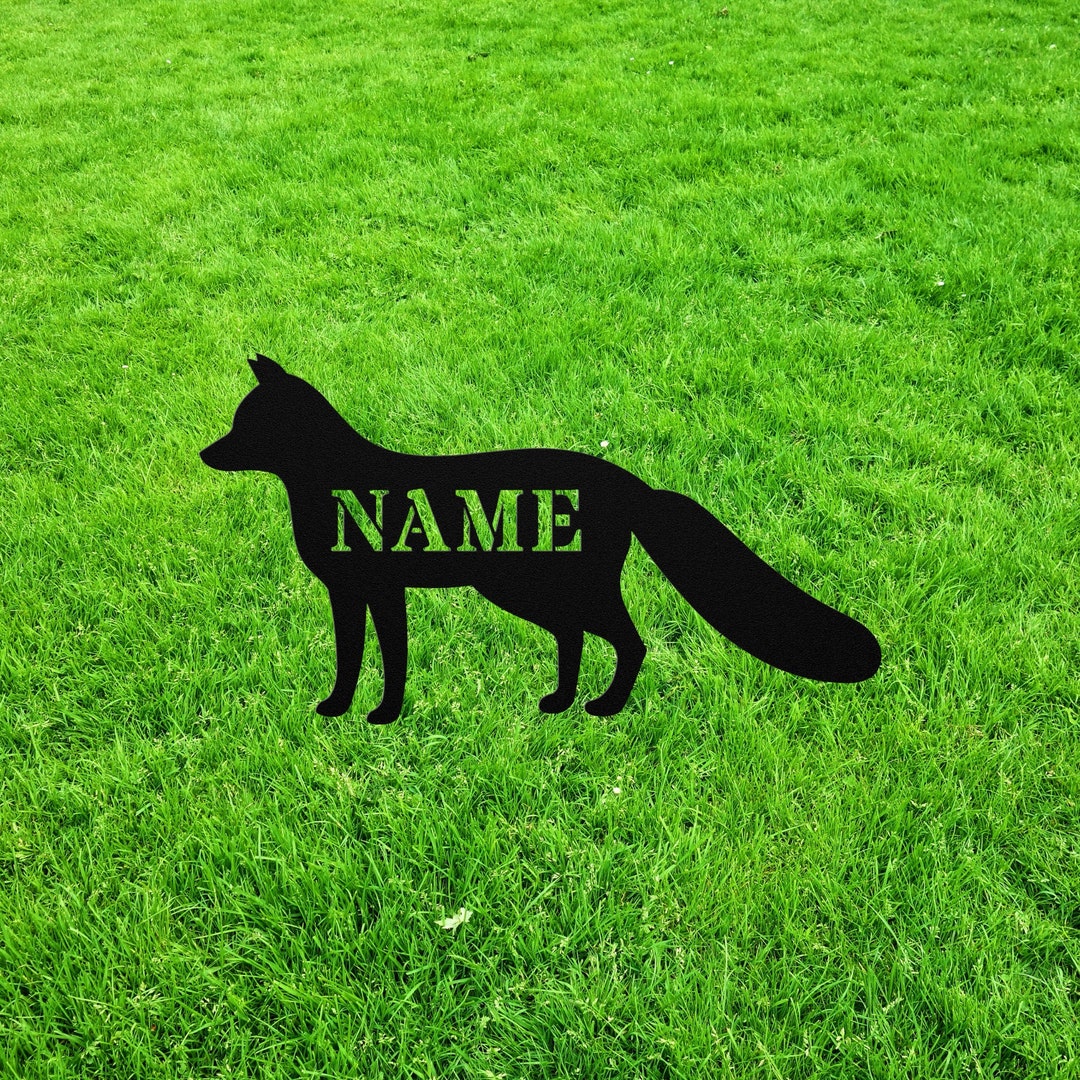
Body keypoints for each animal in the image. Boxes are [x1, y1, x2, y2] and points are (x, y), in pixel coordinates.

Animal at [201, 355, 880, 724]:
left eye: (245, 425)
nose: (205, 455)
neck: (330, 479)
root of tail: (631, 482)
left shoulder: (385, 592)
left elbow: (391, 659)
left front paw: (384, 714)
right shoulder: (349, 593)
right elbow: (350, 658)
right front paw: (340, 708)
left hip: (545, 587)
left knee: (628, 640)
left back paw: (603, 707)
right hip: (534, 589)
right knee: (575, 638)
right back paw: (560, 701)